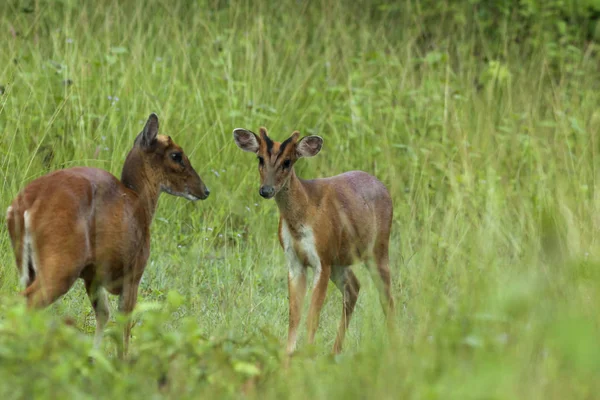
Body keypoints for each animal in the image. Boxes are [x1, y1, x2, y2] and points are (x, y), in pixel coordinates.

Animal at [4, 113, 210, 356]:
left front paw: (93, 356)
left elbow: (104, 313)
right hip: (62, 263)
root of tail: (26, 204)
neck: (139, 201)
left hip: (27, 267)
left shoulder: (92, 276)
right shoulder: (133, 271)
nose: (204, 190)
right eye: (176, 155)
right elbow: (124, 321)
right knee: (24, 302)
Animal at [233, 127, 394, 354]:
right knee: (354, 287)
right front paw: (288, 356)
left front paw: (307, 354)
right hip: (339, 260)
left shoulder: (322, 259)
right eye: (260, 158)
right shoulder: (295, 261)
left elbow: (312, 317)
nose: (266, 190)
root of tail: (384, 187)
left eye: (287, 162)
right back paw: (335, 351)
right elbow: (294, 316)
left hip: (378, 248)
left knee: (387, 296)